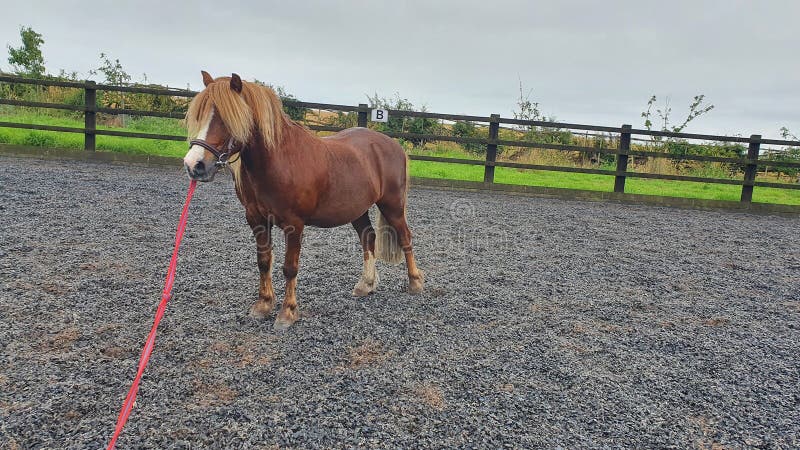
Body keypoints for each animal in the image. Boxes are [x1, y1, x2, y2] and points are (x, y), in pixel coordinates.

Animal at [182, 71, 424, 329]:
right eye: (200, 115)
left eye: (228, 118)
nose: (194, 165)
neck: (277, 161)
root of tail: (393, 145)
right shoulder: (256, 219)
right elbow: (263, 261)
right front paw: (263, 305)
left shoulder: (294, 224)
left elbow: (290, 268)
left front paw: (287, 312)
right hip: (357, 209)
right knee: (368, 237)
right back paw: (365, 284)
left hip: (392, 205)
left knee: (405, 237)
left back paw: (415, 282)